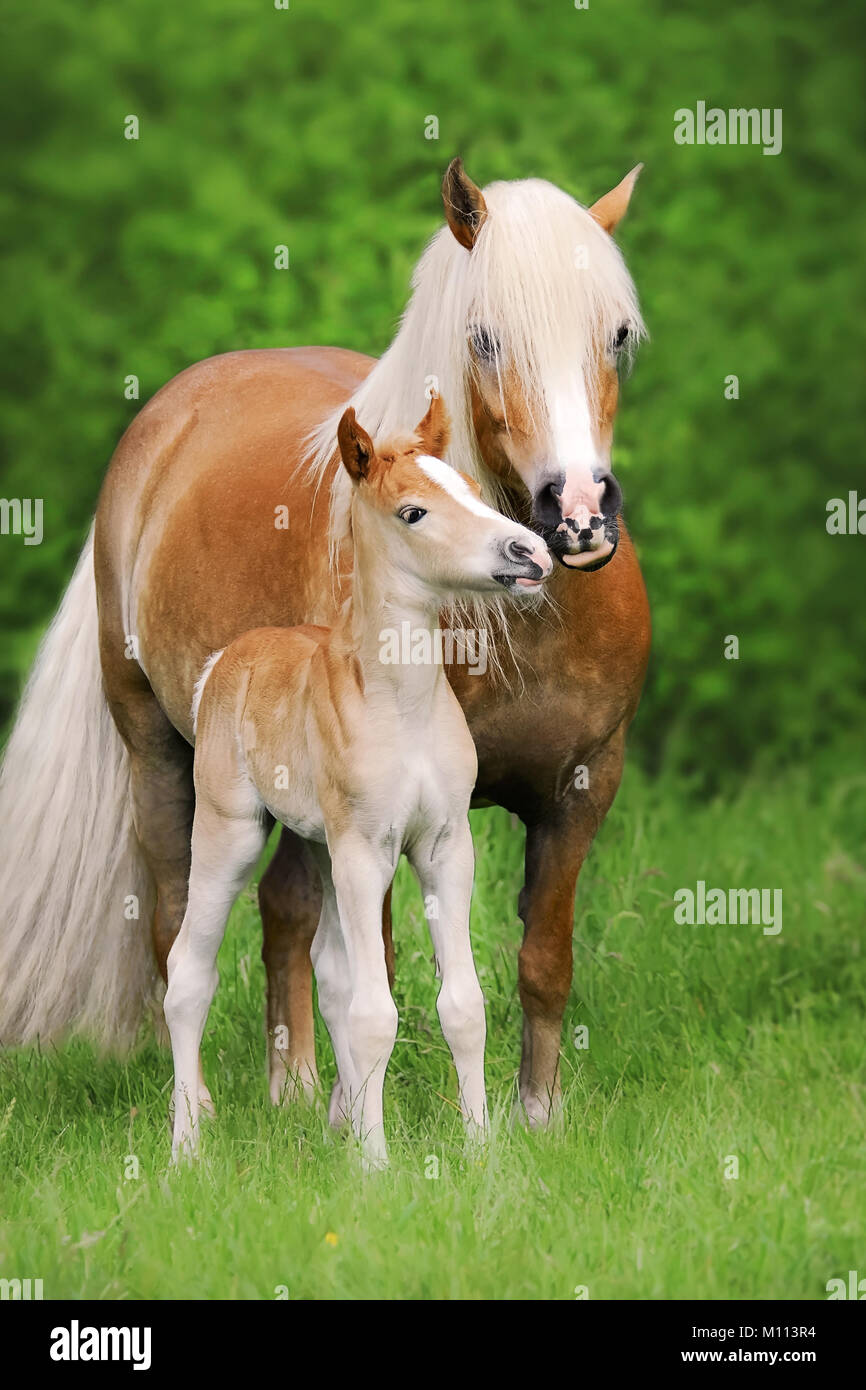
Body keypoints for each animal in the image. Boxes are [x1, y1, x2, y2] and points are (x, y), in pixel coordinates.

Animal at [166, 394, 552, 1165]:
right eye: (413, 511)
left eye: (471, 488)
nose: (529, 553)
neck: (401, 707)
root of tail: (227, 660)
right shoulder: (364, 851)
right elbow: (377, 1012)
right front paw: (376, 1165)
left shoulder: (444, 846)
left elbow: (460, 1005)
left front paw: (479, 1149)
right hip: (232, 834)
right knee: (188, 972)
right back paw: (185, 1147)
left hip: (319, 843)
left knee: (331, 972)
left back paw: (336, 1126)